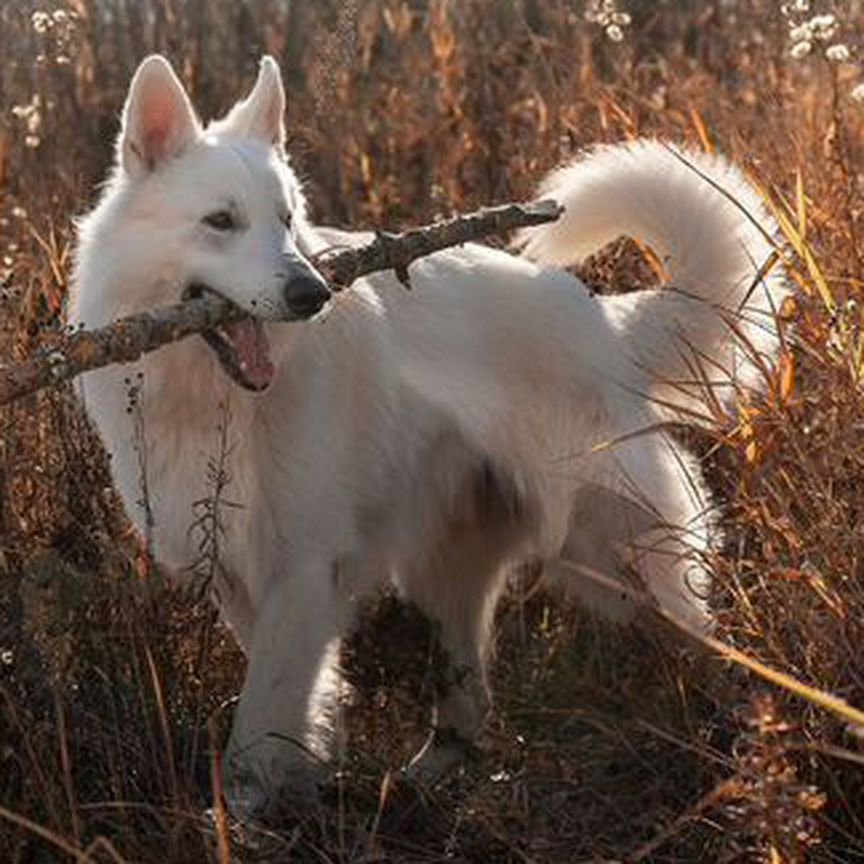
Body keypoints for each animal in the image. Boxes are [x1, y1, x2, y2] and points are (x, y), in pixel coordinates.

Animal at [71, 55, 788, 816]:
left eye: (288, 221)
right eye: (220, 222)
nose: (312, 295)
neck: (214, 404)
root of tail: (607, 323)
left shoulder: (301, 570)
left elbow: (258, 723)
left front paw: (244, 814)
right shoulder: (243, 581)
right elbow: (296, 701)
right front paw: (303, 779)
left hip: (618, 561)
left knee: (712, 651)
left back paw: (739, 749)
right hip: (445, 577)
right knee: (471, 707)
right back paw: (420, 784)